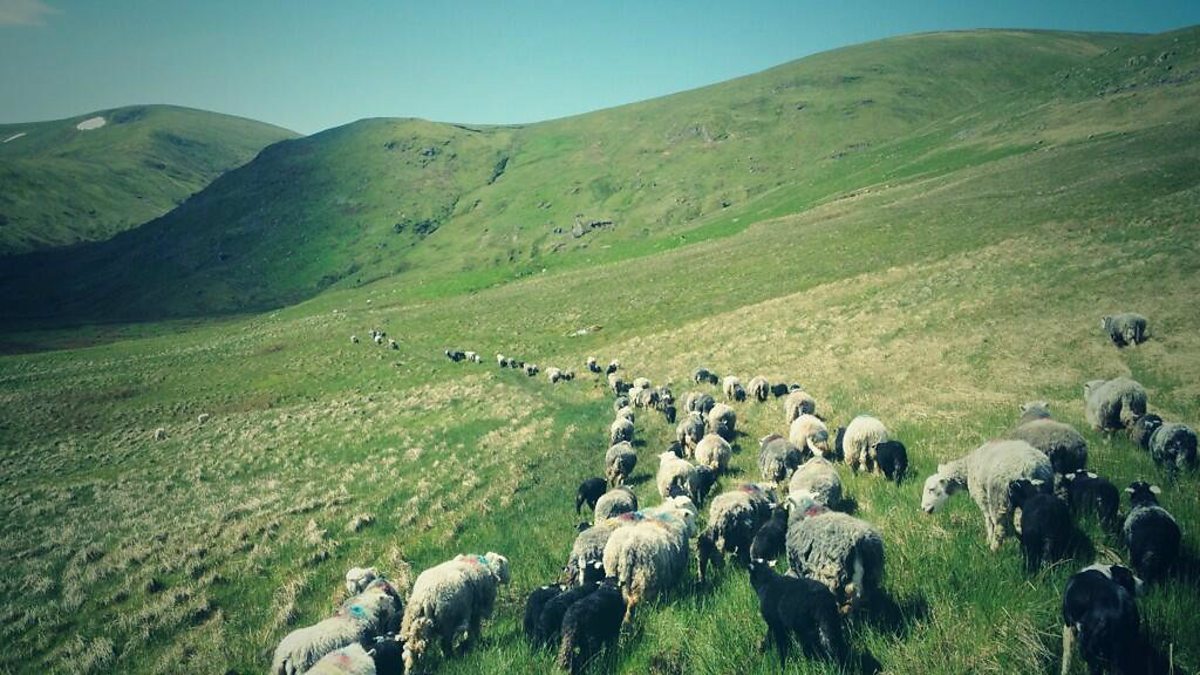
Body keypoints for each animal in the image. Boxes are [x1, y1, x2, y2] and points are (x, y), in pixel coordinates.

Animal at [921, 439, 1053, 551]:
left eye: (931, 489)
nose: (923, 508)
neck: (967, 468)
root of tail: (1030, 468)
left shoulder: (982, 497)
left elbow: (988, 521)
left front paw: (988, 541)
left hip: (1000, 499)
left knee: (1000, 527)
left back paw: (994, 550)